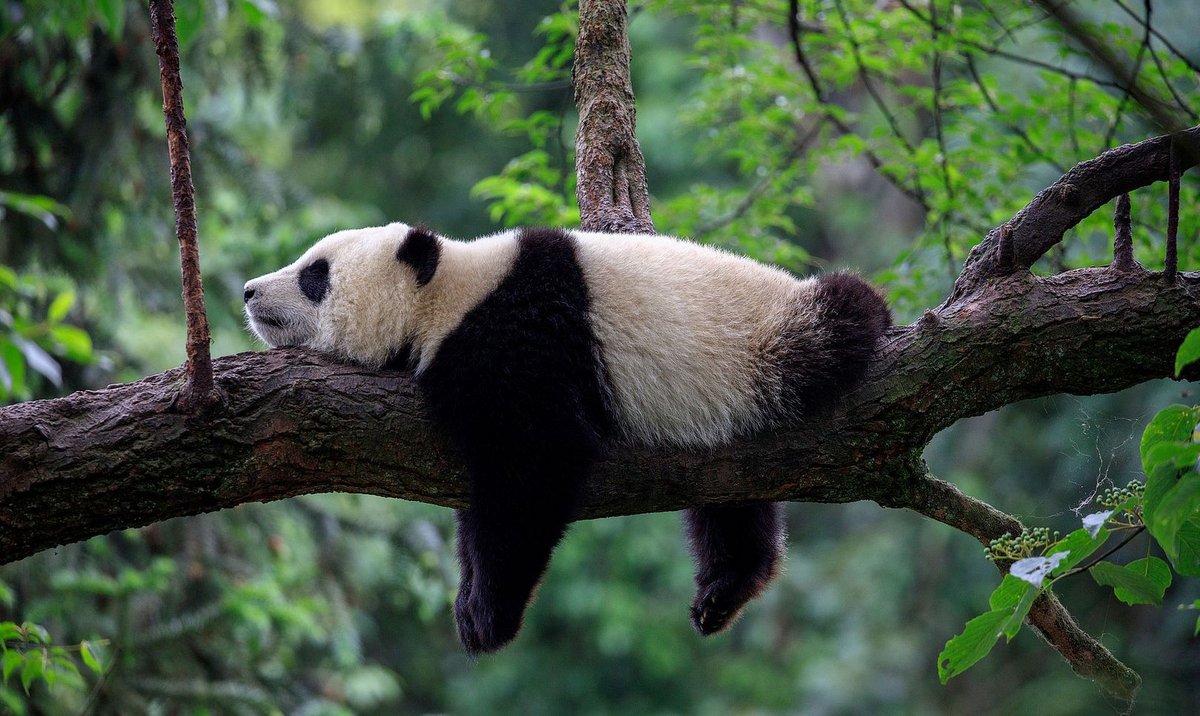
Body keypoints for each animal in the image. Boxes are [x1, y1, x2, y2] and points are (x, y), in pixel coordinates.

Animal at [243, 222, 890, 655]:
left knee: (840, 317)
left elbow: (535, 465)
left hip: (768, 344)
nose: (249, 291)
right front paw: (469, 599)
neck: (449, 293)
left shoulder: (520, 339)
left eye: (315, 275)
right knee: (730, 502)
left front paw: (488, 615)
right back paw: (724, 590)